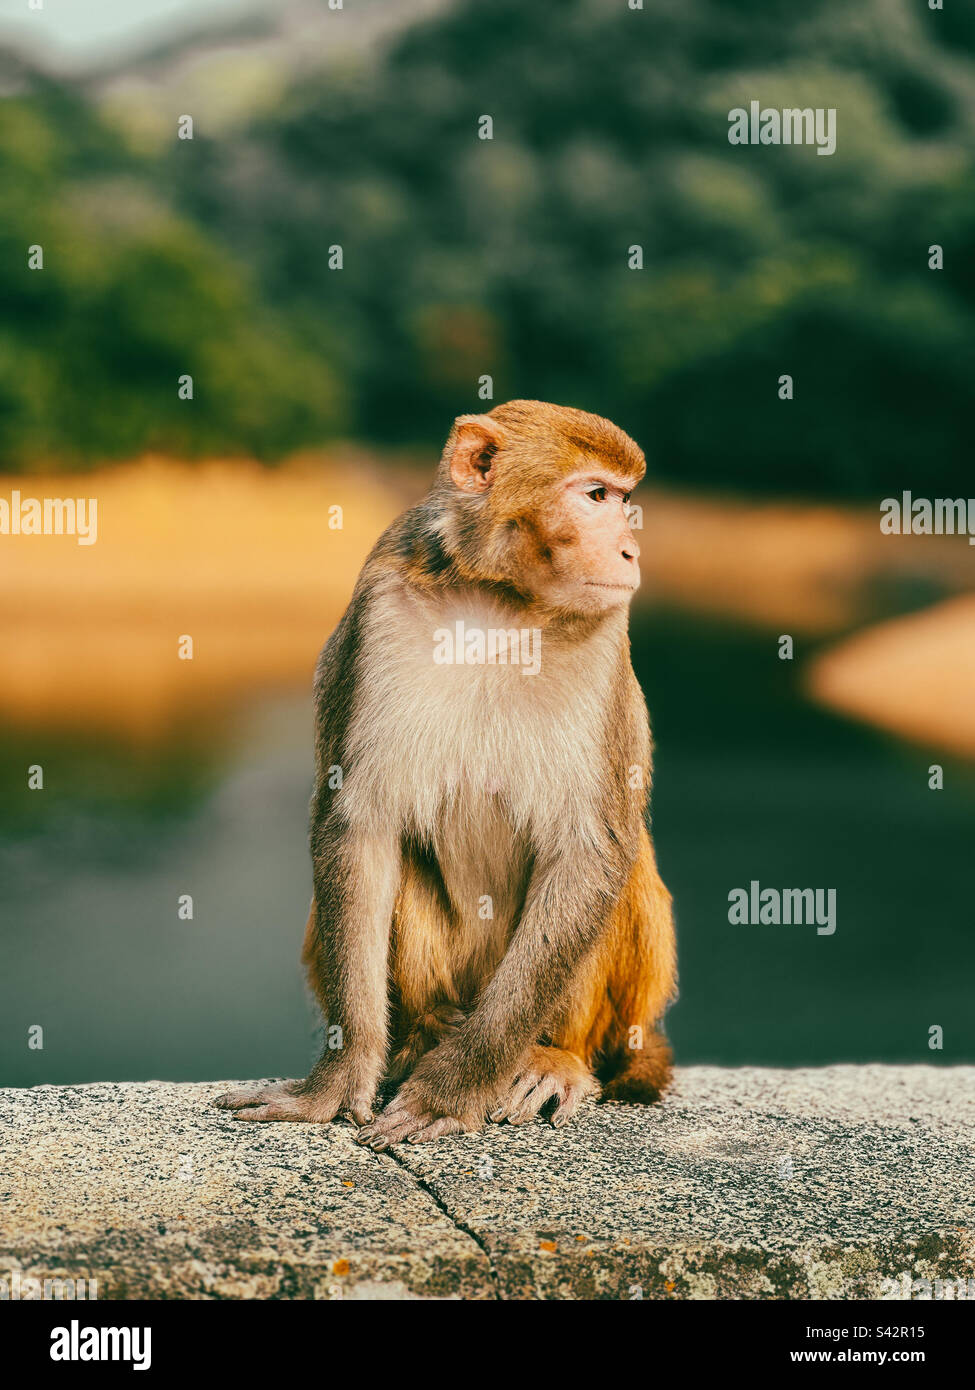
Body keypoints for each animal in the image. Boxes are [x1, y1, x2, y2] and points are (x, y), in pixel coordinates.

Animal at [215, 400, 677, 1146]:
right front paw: (339, 1079)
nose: (631, 552)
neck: (500, 603)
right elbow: (362, 823)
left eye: (622, 498)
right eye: (596, 496)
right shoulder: (380, 605)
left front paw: (454, 1089)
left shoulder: (606, 630)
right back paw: (421, 1036)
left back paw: (552, 1057)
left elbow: (589, 851)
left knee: (620, 863)